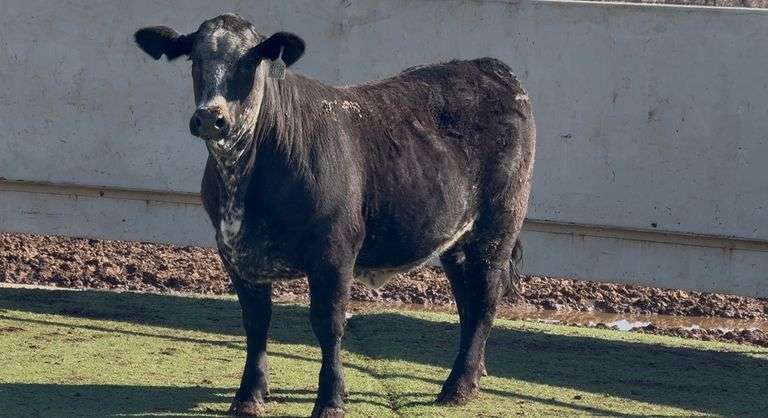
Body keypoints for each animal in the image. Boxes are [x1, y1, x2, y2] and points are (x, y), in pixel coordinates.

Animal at [134, 13, 535, 418]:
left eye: (249, 62)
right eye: (195, 60)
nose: (210, 119)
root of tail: (488, 66)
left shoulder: (334, 250)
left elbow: (328, 323)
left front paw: (330, 400)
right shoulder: (235, 252)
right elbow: (256, 322)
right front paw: (248, 396)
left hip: (498, 224)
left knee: (485, 299)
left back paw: (458, 386)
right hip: (456, 237)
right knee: (467, 301)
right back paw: (473, 373)